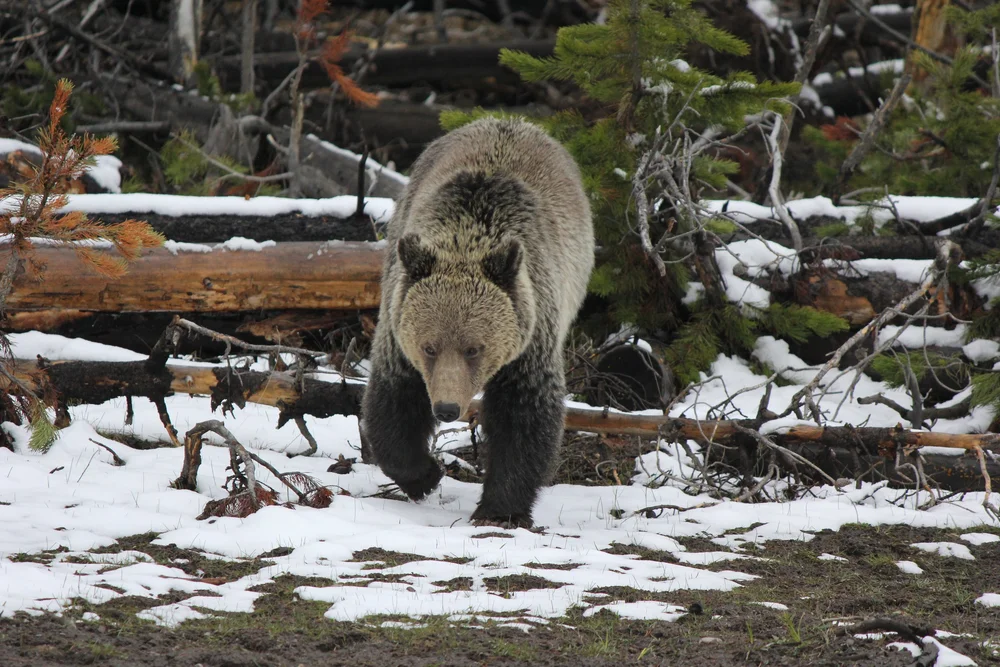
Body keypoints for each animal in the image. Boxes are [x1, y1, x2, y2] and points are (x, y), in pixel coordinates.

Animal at [359, 116, 594, 528]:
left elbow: (523, 418)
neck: (466, 238)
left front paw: (500, 509)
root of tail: (509, 120)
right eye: (429, 346)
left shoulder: (531, 338)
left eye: (474, 348)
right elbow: (393, 404)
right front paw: (425, 475)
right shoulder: (397, 326)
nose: (446, 409)